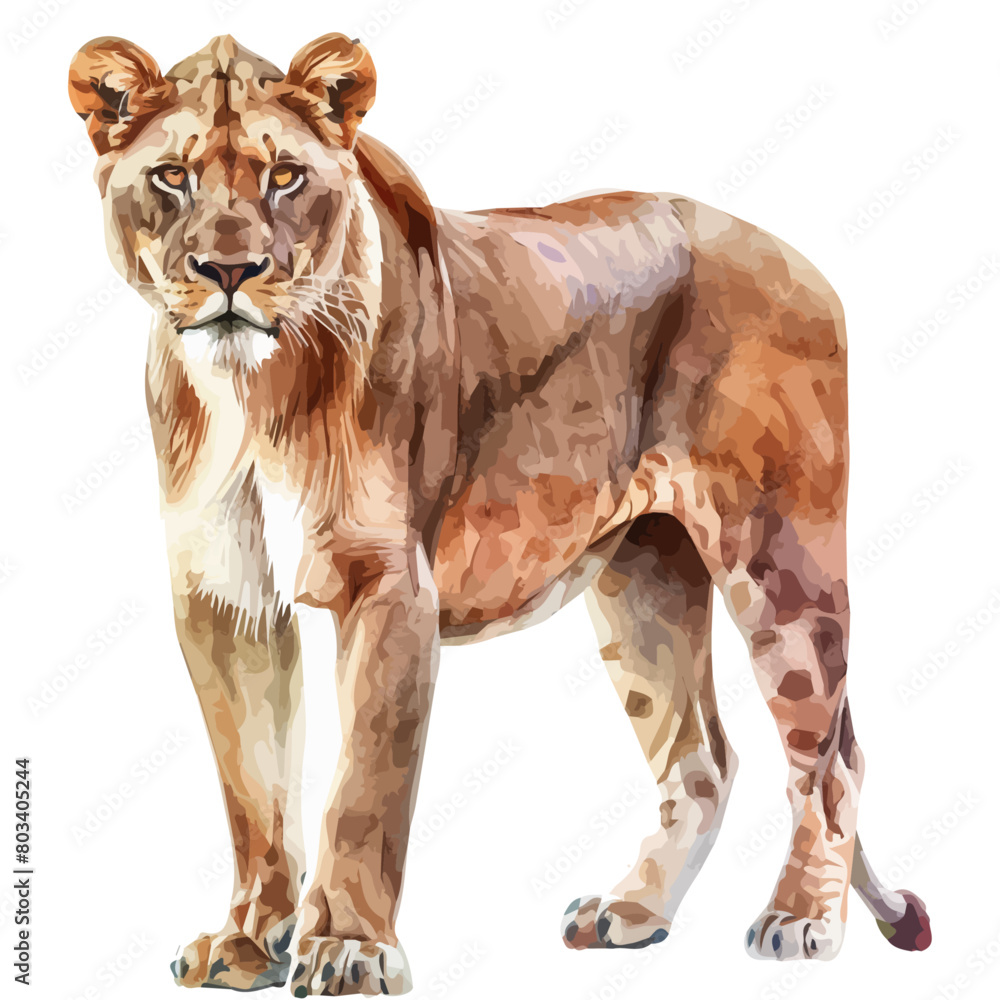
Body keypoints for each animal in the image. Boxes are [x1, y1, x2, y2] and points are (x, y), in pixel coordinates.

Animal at [69, 32, 931, 996]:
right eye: (173, 177)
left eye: (285, 176)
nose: (228, 272)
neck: (250, 390)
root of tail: (799, 260)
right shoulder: (226, 599)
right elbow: (252, 789)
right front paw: (249, 942)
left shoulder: (388, 587)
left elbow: (362, 790)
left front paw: (349, 948)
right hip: (644, 580)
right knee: (705, 759)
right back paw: (630, 914)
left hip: (779, 558)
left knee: (831, 756)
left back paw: (800, 918)